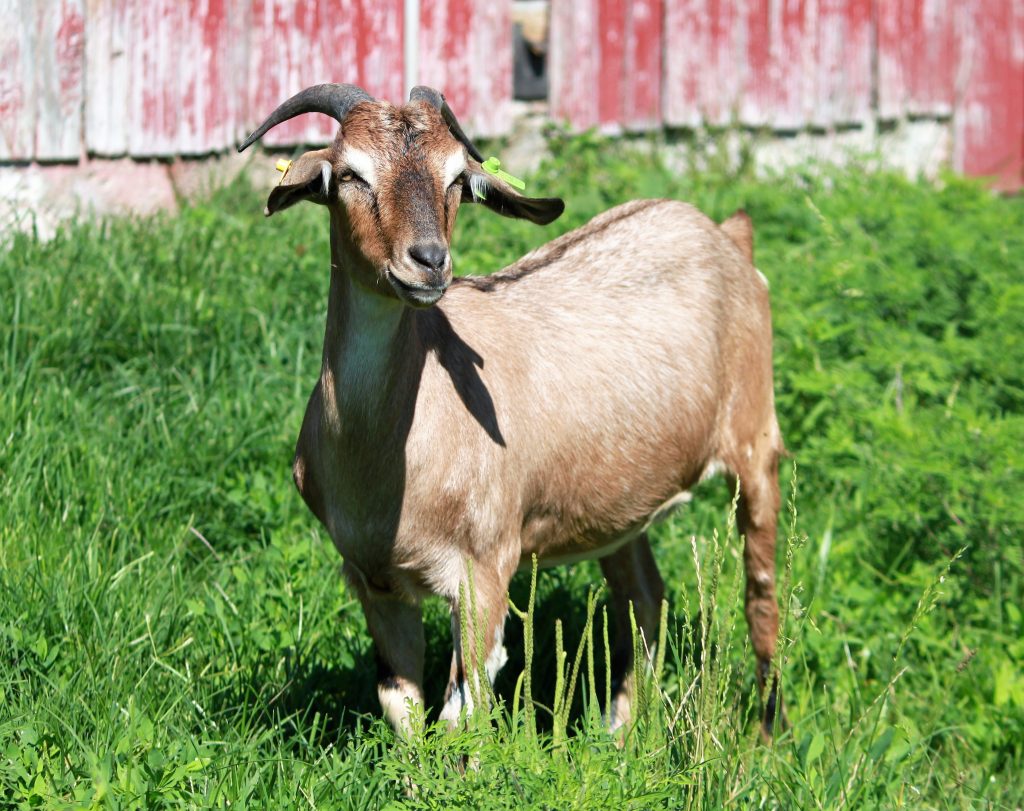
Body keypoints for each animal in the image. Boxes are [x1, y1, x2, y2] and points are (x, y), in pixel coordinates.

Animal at [239, 83, 785, 737]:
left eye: (456, 178)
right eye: (350, 174)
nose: (429, 261)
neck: (387, 464)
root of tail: (727, 236)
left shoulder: (484, 569)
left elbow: (462, 713)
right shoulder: (374, 581)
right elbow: (402, 707)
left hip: (755, 440)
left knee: (761, 595)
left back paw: (765, 738)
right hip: (619, 502)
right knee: (644, 599)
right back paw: (618, 736)